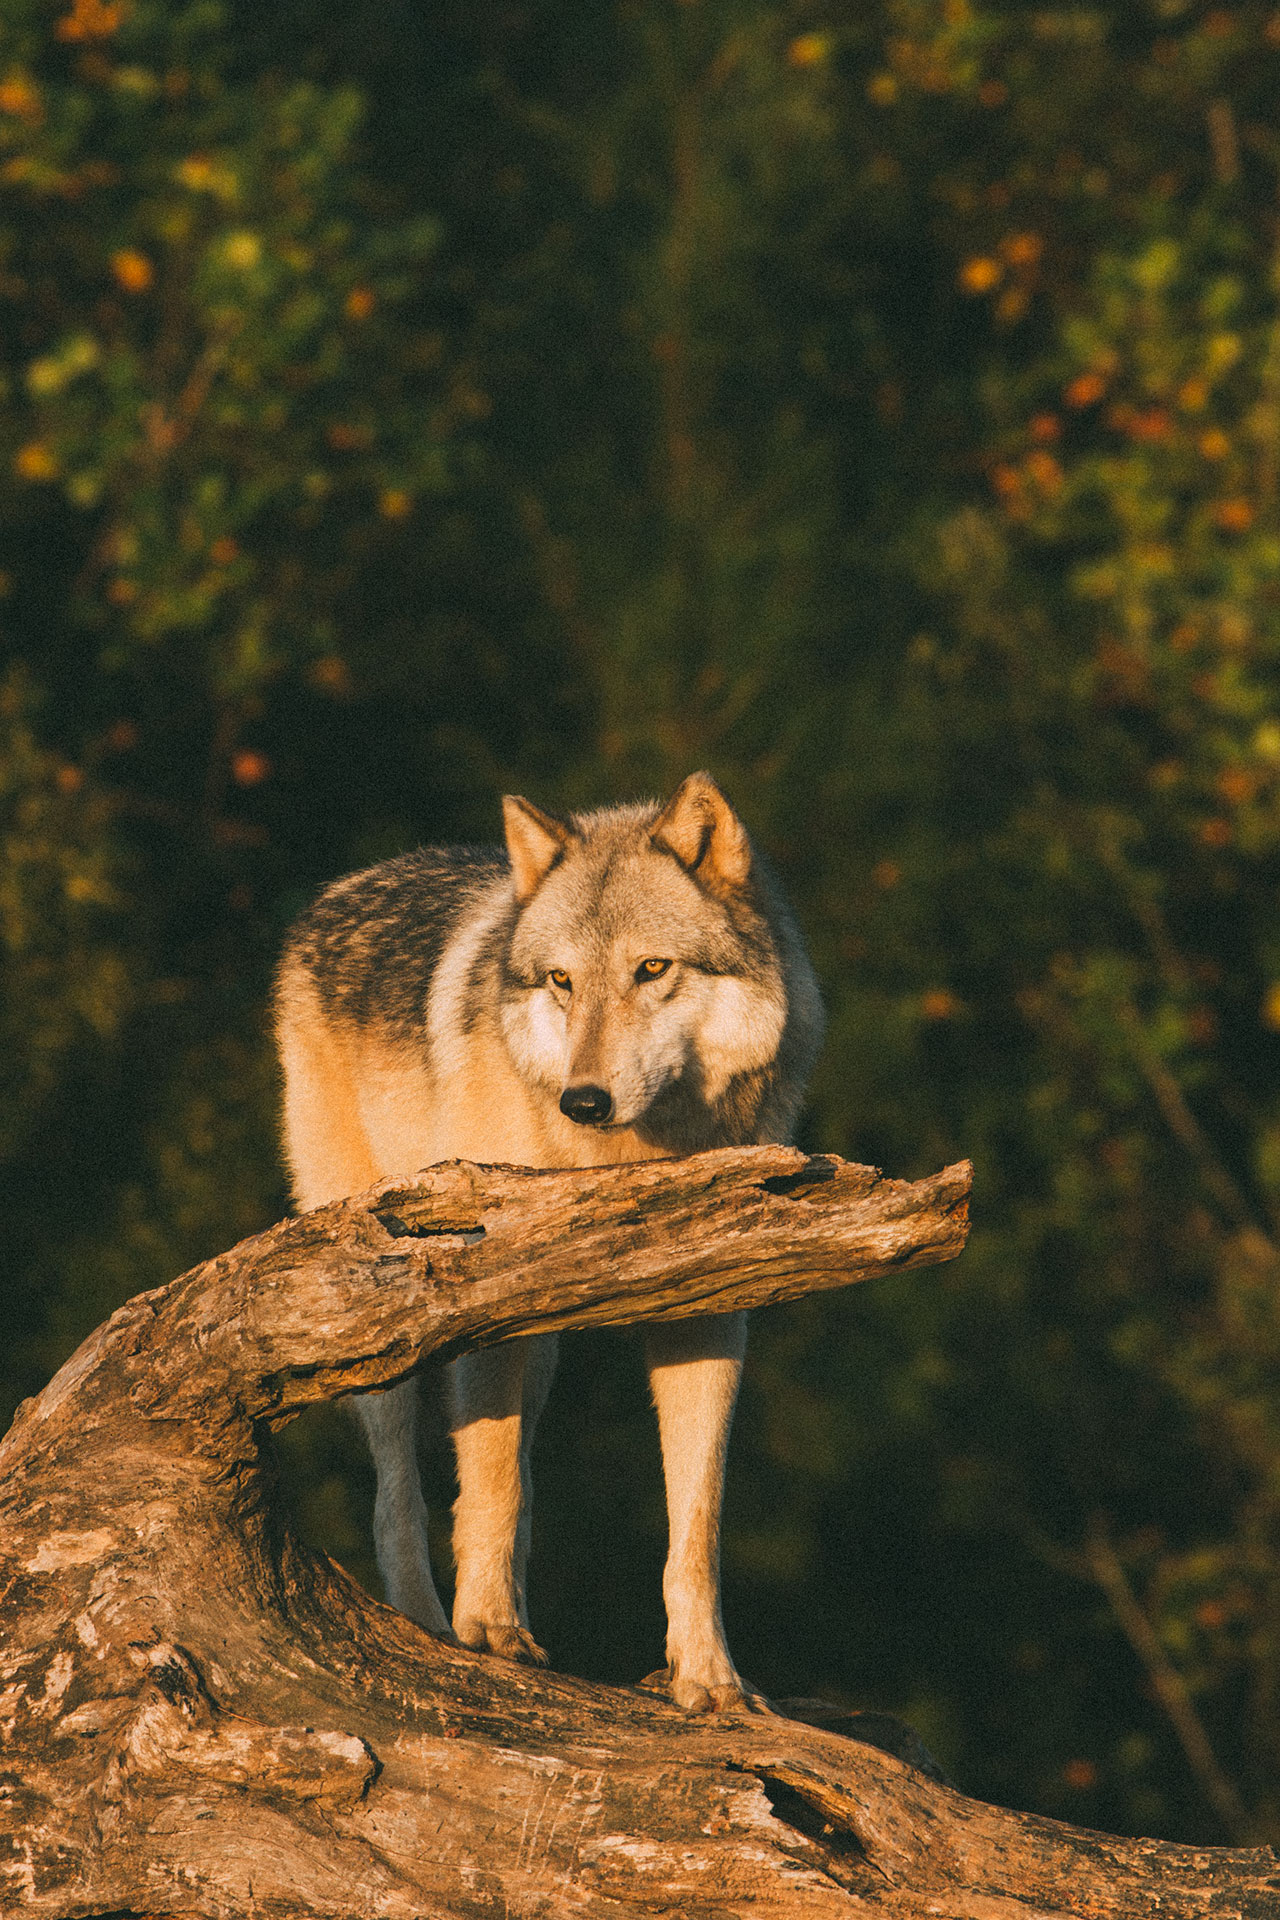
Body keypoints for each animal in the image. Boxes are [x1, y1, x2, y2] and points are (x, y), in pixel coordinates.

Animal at [274, 771, 824, 1712]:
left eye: (652, 969)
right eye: (562, 981)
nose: (583, 1101)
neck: (626, 1156)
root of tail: (339, 889)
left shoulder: (707, 1321)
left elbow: (695, 1523)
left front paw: (708, 1677)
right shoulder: (484, 1310)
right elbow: (488, 1481)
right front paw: (488, 1635)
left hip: (543, 1353)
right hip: (383, 1331)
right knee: (402, 1494)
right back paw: (430, 1624)